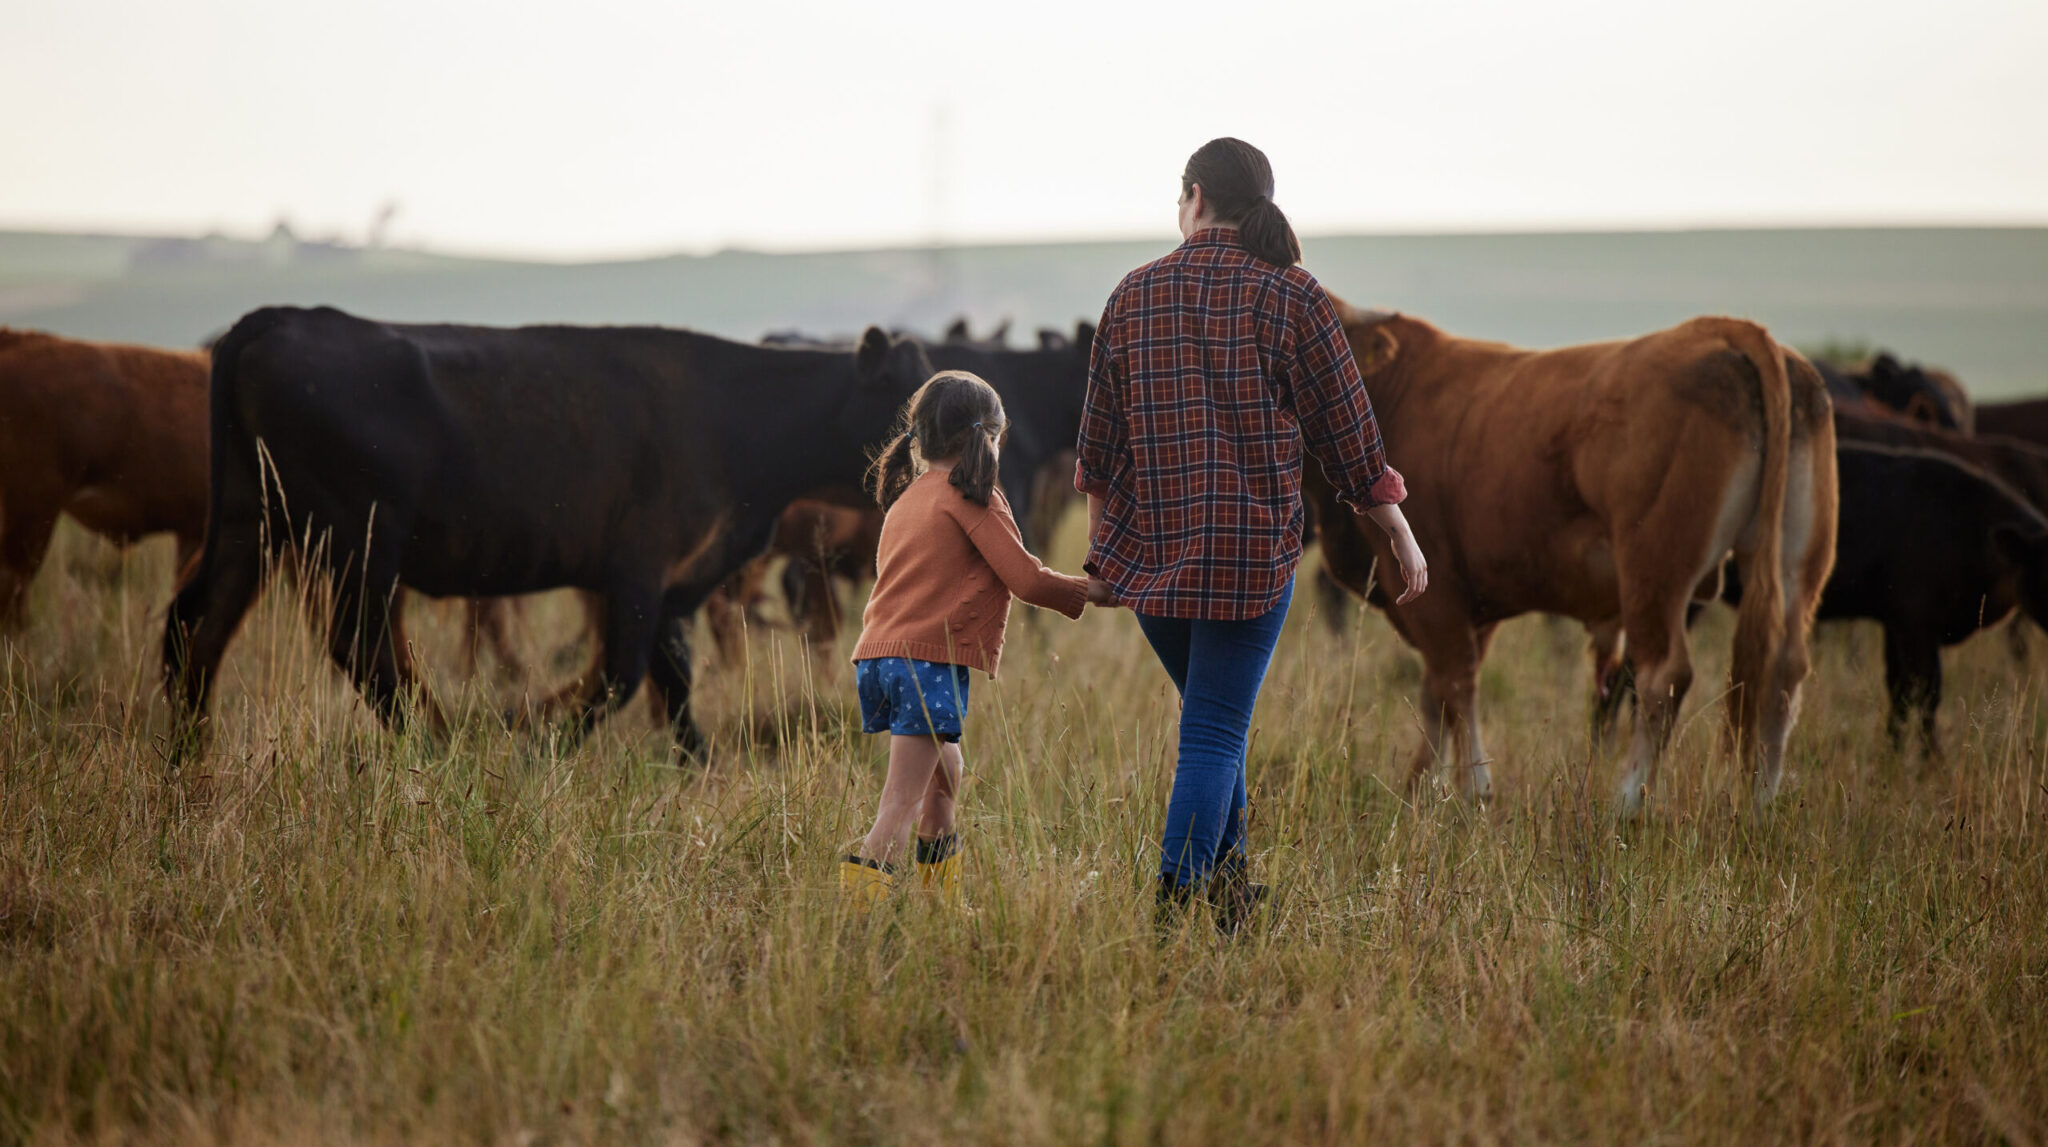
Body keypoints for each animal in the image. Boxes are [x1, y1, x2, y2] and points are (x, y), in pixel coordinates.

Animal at [162, 306, 932, 755]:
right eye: (905, 397)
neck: (735, 415)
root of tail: (284, 318)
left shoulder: (678, 582)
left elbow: (671, 675)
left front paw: (697, 761)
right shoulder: (638, 568)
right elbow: (620, 674)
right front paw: (531, 729)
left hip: (252, 526)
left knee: (198, 621)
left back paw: (190, 750)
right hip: (360, 541)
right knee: (362, 646)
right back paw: (439, 738)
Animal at [1308, 306, 1837, 815]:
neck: (1394, 391)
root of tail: (1727, 331)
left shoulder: (1436, 594)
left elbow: (1456, 685)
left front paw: (1473, 790)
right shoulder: (1474, 604)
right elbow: (1439, 694)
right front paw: (1421, 789)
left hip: (1653, 571)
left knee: (1662, 676)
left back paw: (1627, 804)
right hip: (1795, 565)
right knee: (1784, 671)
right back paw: (1760, 805)